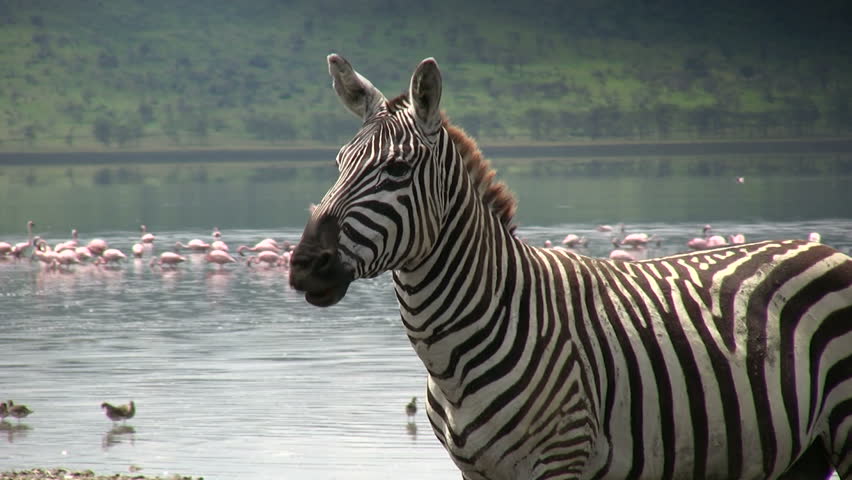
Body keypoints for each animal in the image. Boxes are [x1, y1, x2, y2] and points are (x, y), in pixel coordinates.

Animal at [289, 54, 852, 480]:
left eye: (397, 168)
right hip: (800, 452)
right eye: (338, 163)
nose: (302, 266)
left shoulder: (561, 459)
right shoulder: (476, 471)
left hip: (844, 427)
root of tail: (823, 249)